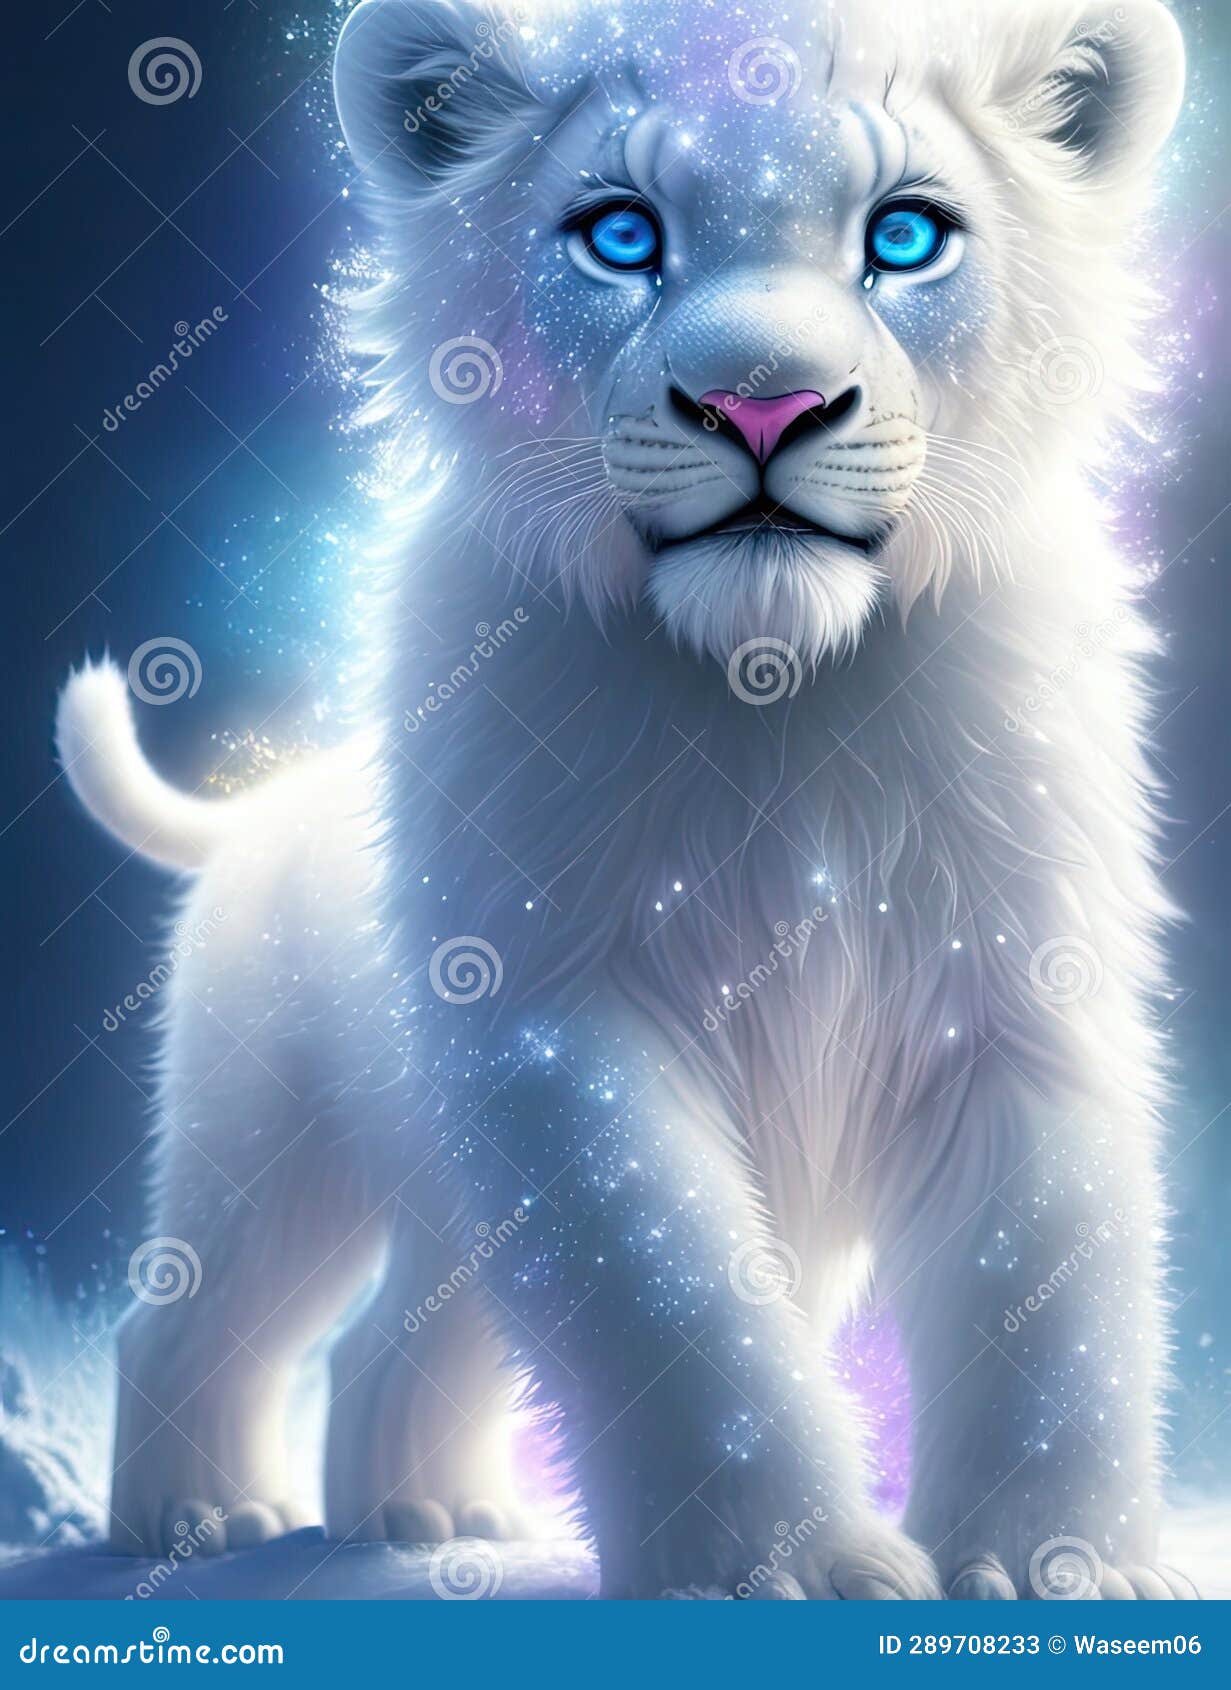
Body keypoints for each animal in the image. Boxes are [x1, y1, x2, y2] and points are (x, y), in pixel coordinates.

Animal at [56, 0, 1194, 1598]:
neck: (775, 701)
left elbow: (1048, 1292)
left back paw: (429, 1517)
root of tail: (263, 804)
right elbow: (676, 1301)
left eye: (905, 234)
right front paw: (783, 1569)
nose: (763, 401)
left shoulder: (1019, 999)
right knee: (192, 1309)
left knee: (395, 1339)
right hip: (265, 1136)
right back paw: (195, 1520)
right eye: (619, 232)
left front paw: (1052, 1560)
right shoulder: (554, 1019)